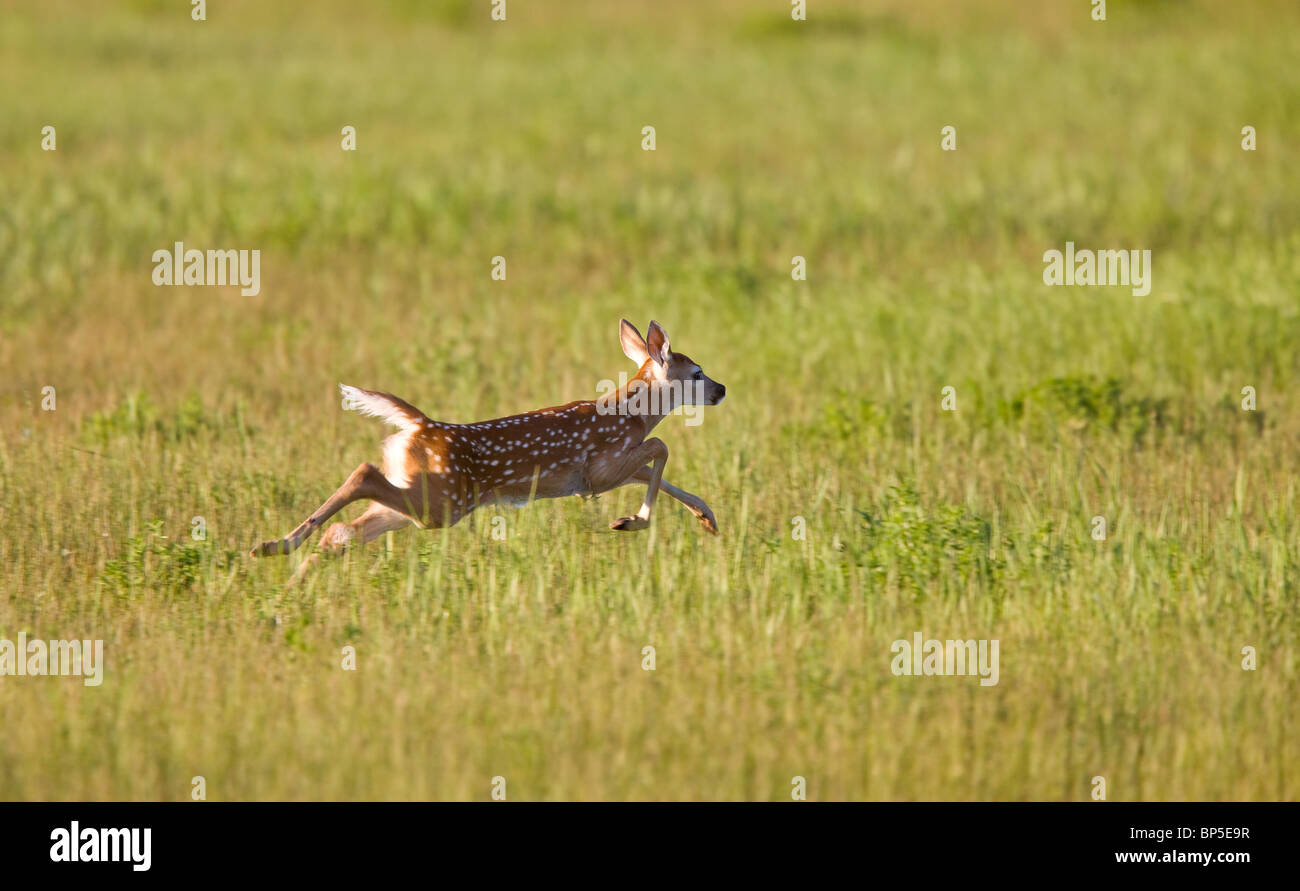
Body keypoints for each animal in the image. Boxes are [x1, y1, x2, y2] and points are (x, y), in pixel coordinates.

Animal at [249, 319, 725, 581]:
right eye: (697, 373)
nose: (721, 389)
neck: (633, 414)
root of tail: (420, 425)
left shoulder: (613, 467)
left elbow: (655, 469)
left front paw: (707, 518)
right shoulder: (598, 470)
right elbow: (660, 447)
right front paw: (630, 521)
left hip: (422, 497)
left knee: (342, 532)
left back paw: (281, 574)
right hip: (443, 501)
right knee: (362, 474)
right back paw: (274, 550)